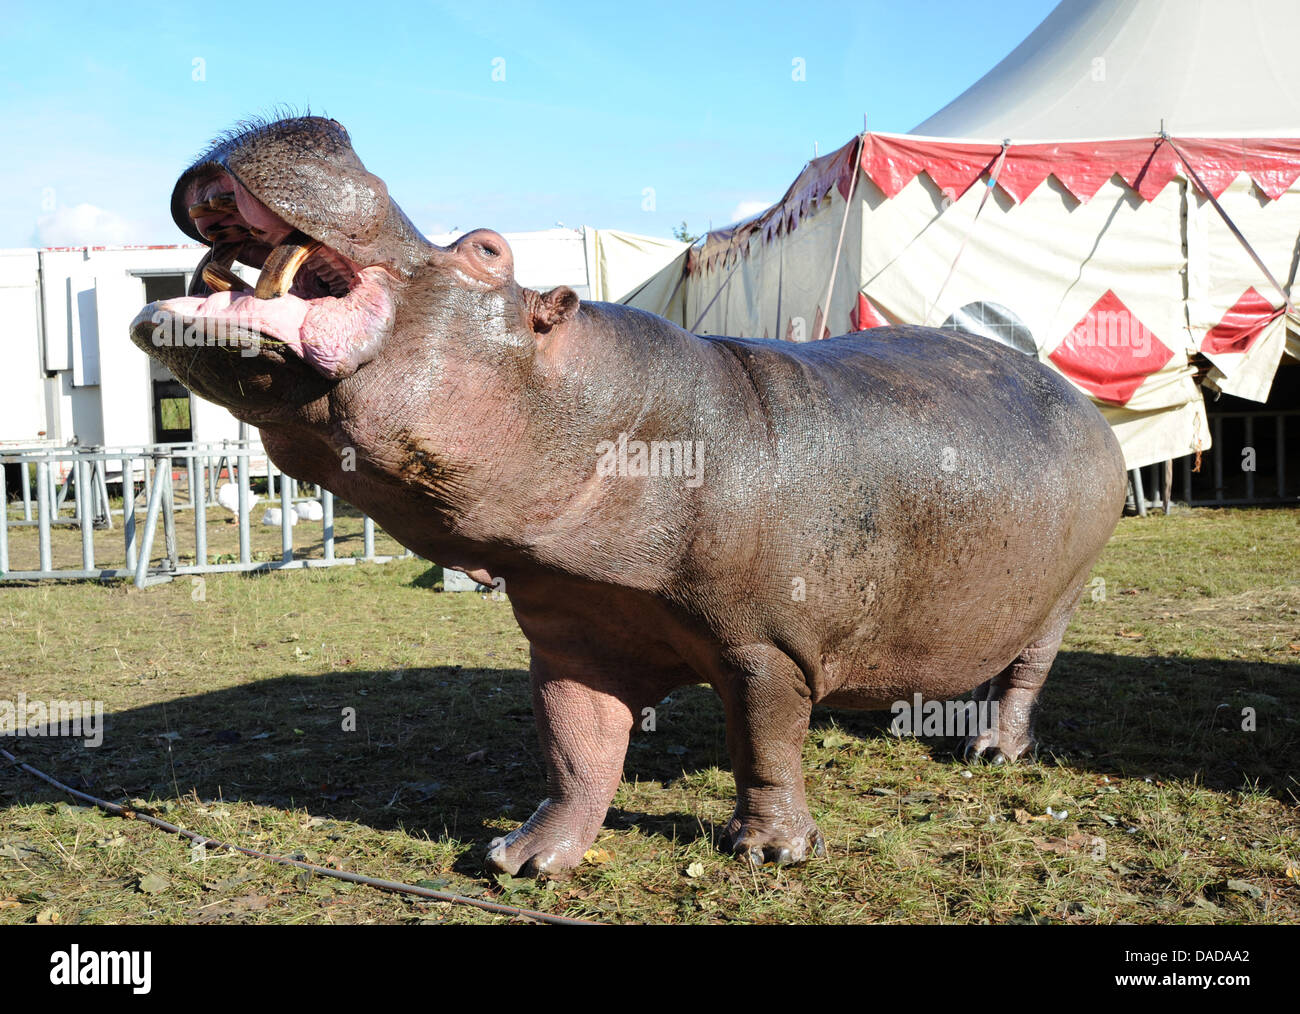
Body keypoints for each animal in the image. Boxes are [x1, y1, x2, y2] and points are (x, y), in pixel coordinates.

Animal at [130, 116, 1127, 875]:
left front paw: (770, 852)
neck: (606, 413)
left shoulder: (763, 643)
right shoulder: (573, 633)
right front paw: (521, 858)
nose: (322, 126)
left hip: (1064, 593)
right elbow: (577, 753)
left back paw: (992, 750)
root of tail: (1076, 398)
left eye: (488, 249)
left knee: (1027, 670)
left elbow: (764, 745)